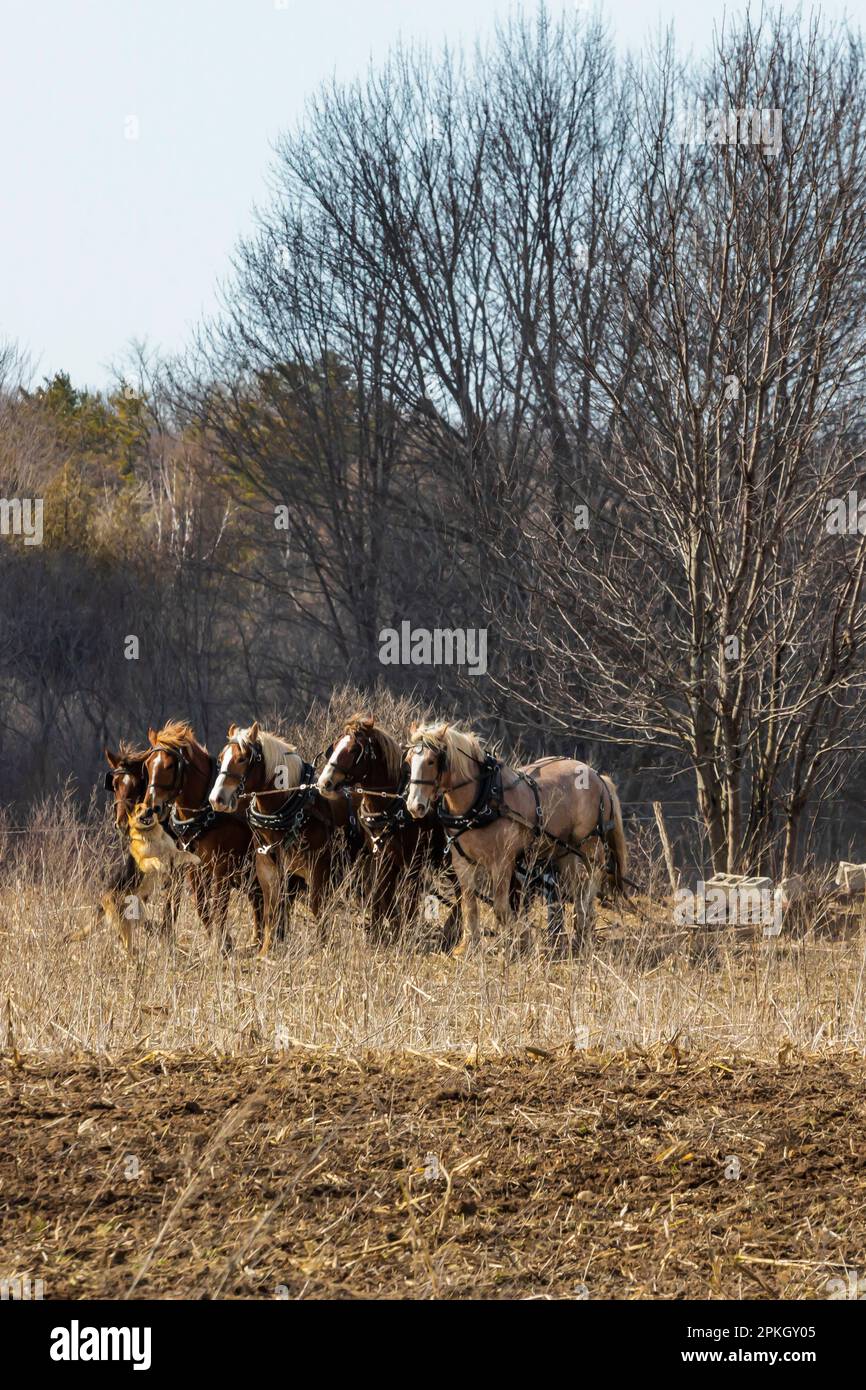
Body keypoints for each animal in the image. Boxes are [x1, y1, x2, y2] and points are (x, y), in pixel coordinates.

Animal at [141, 720, 268, 953]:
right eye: (148, 765)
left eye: (170, 766)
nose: (151, 809)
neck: (203, 815)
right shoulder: (193, 866)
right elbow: (200, 905)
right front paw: (219, 941)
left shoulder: (222, 867)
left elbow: (219, 906)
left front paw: (224, 942)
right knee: (258, 900)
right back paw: (256, 940)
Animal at [209, 721, 365, 956]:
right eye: (221, 757)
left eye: (242, 758)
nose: (216, 799)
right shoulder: (268, 868)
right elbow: (270, 910)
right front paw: (266, 950)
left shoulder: (318, 868)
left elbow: (317, 908)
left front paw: (324, 947)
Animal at [316, 713, 461, 947]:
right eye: (335, 746)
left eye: (355, 750)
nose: (324, 782)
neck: (392, 806)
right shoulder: (381, 857)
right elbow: (380, 894)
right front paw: (378, 935)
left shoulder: (413, 863)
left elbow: (408, 902)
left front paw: (403, 935)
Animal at [405, 723, 627, 957]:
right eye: (408, 760)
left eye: (431, 761)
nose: (414, 806)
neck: (482, 800)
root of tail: (598, 777)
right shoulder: (462, 862)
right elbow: (470, 905)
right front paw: (470, 946)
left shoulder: (502, 862)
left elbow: (501, 908)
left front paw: (519, 940)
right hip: (564, 851)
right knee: (577, 891)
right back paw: (579, 936)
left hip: (590, 845)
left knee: (591, 883)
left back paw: (585, 927)